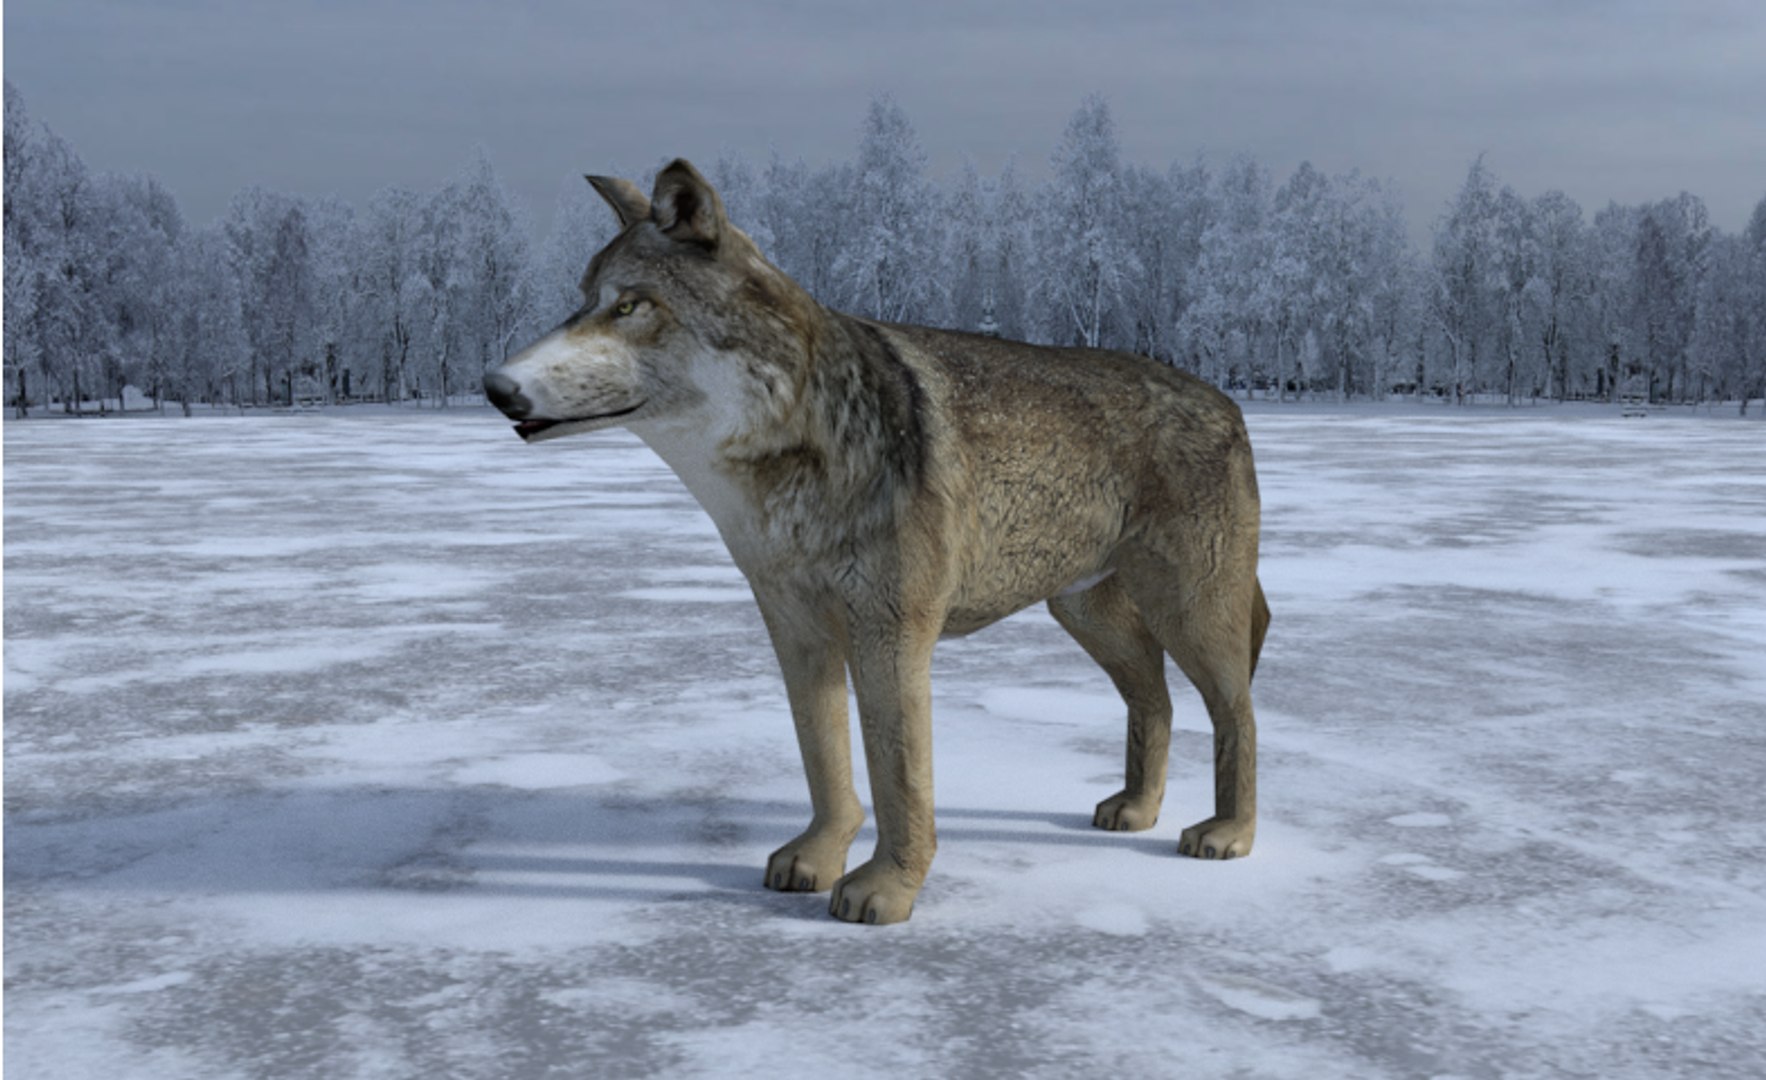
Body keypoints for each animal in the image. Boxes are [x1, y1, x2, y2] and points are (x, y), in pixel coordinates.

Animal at [484, 160, 1270, 925]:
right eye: (582, 301)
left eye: (630, 306)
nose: (495, 387)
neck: (785, 467)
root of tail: (1227, 402)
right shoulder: (795, 630)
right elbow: (825, 761)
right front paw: (816, 857)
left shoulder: (892, 635)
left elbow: (899, 779)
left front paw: (887, 891)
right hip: (1086, 613)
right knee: (1156, 700)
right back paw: (1135, 810)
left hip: (1190, 613)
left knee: (1237, 711)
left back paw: (1228, 834)